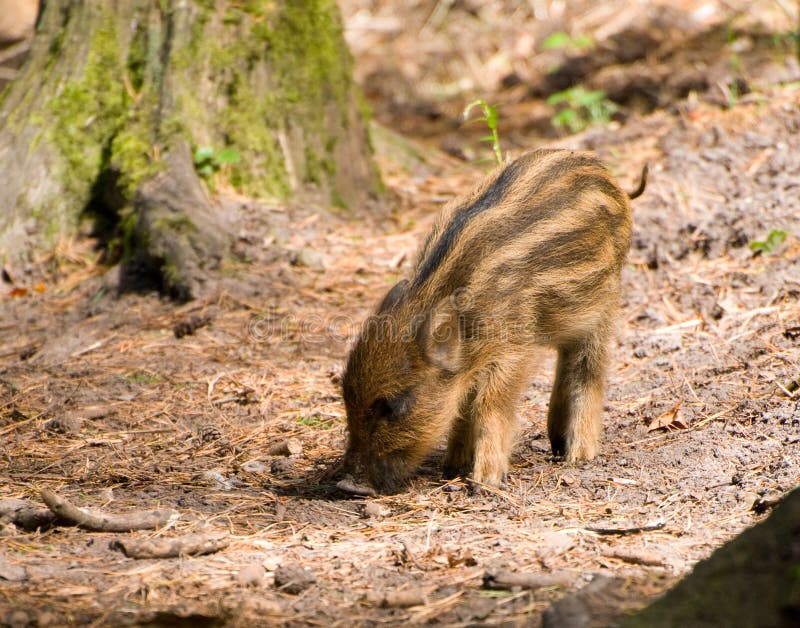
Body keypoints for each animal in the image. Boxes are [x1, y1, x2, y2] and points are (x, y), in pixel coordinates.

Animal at [341, 149, 646, 493]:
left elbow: (489, 405)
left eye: (394, 404)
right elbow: (462, 406)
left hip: (604, 304)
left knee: (589, 368)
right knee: (565, 358)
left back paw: (579, 455)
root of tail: (610, 179)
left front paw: (485, 481)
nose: (348, 486)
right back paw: (556, 443)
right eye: (344, 394)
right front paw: (453, 469)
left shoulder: (512, 349)